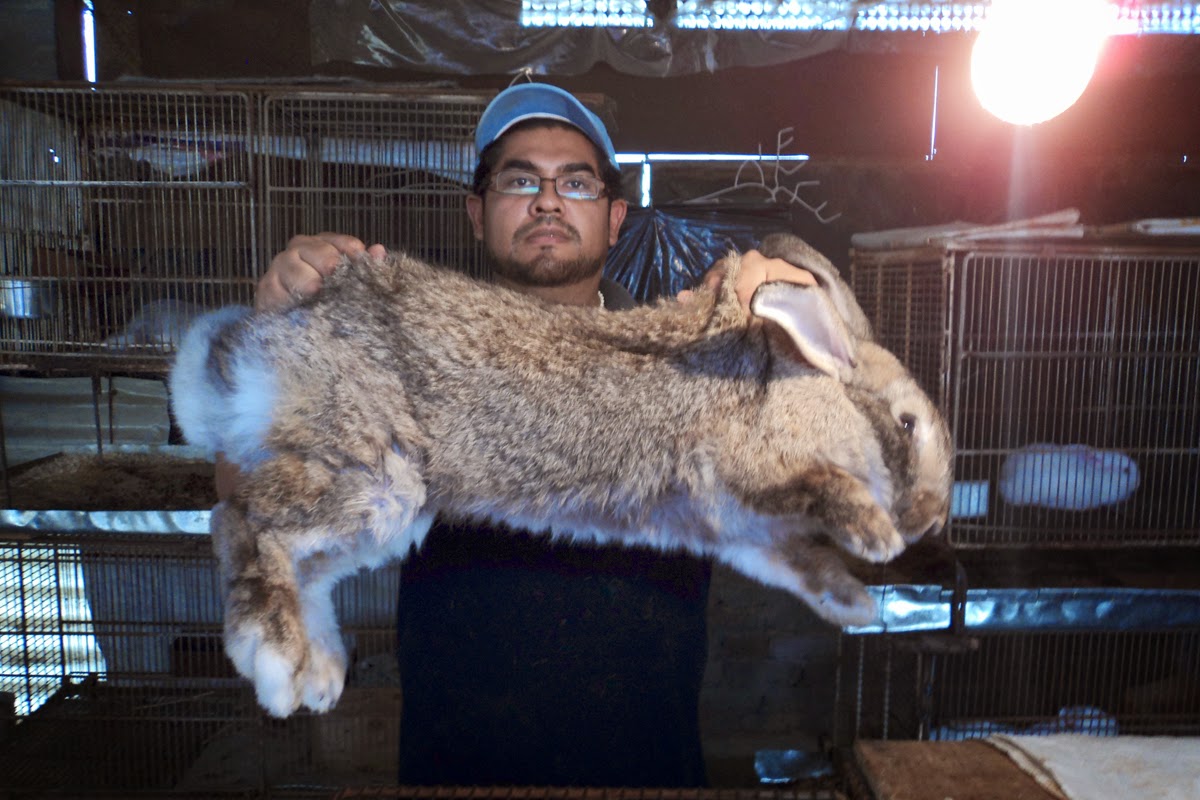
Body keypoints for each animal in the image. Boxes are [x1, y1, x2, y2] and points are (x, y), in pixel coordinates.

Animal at [168, 232, 954, 717]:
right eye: (908, 423)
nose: (928, 521)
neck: (816, 391)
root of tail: (263, 340)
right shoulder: (749, 468)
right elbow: (830, 491)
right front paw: (877, 538)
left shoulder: (751, 534)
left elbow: (805, 566)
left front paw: (858, 606)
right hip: (372, 475)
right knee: (242, 522)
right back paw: (277, 662)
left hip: (393, 509)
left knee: (304, 565)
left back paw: (322, 672)